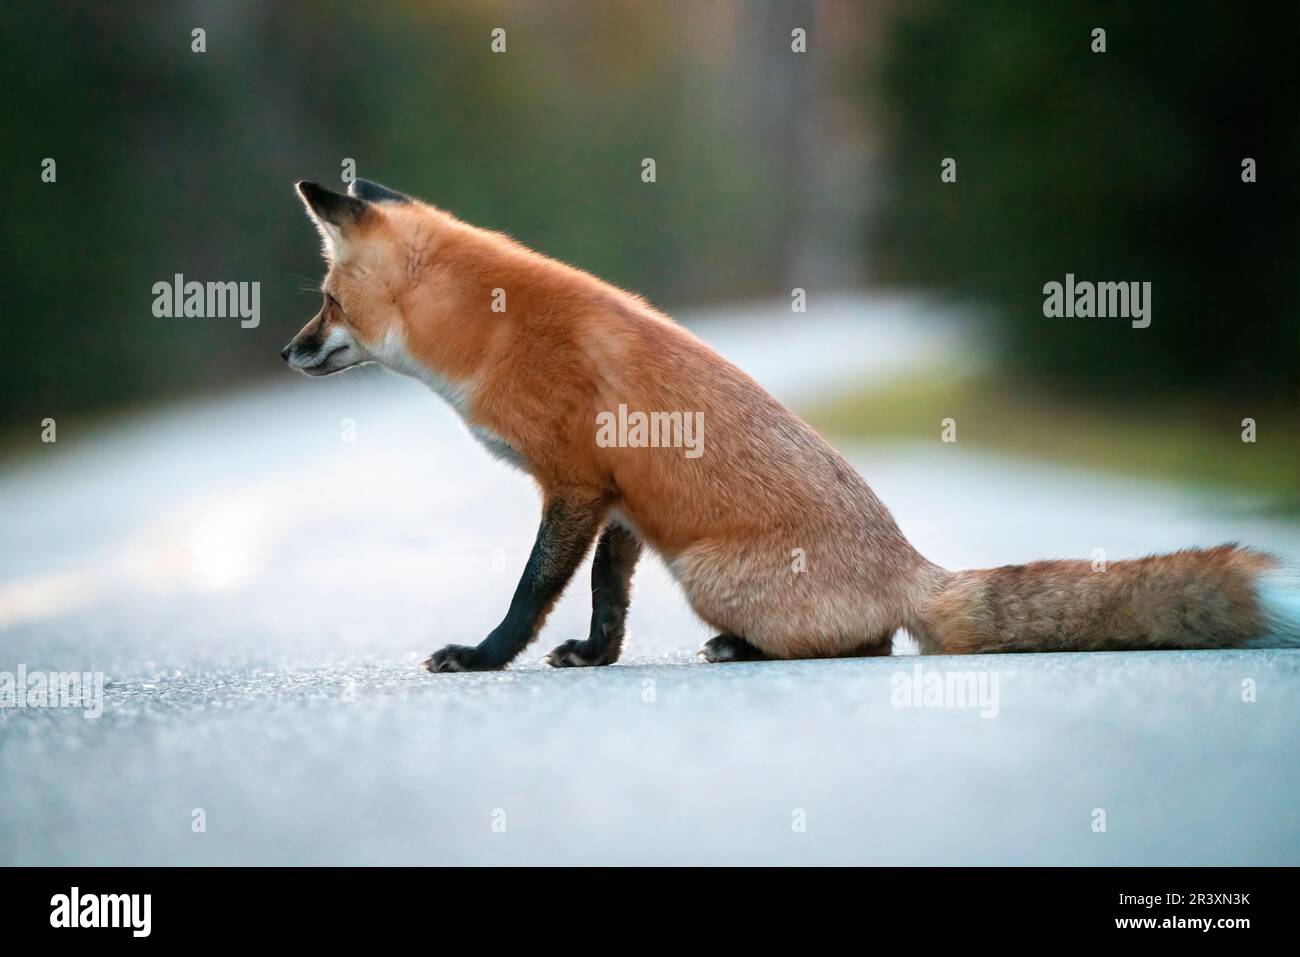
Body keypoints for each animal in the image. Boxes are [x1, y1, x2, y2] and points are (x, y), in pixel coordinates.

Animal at [282, 178, 1300, 672]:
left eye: (325, 300)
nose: (288, 352)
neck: (490, 329)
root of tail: (910, 563)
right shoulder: (619, 497)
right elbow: (608, 598)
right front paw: (597, 657)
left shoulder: (572, 483)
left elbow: (531, 592)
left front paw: (485, 658)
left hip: (708, 570)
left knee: (873, 644)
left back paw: (742, 648)